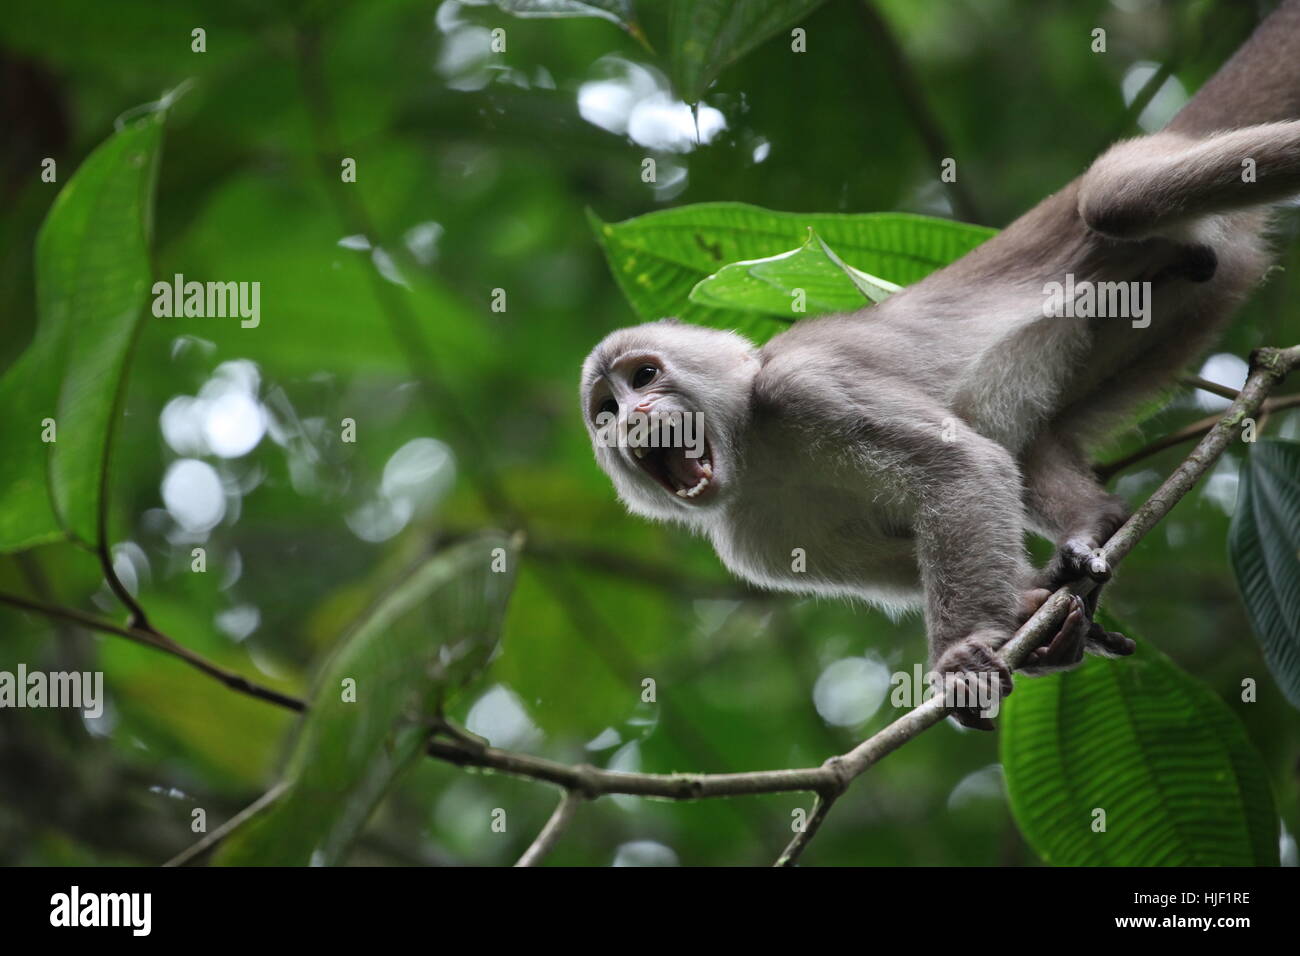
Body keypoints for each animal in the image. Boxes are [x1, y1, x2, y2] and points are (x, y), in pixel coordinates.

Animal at [580, 1, 1300, 728]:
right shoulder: (754, 540)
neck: (757, 450)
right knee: (1028, 434)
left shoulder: (803, 387)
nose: (634, 416)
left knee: (1115, 200)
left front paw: (962, 655)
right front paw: (1036, 616)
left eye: (644, 376)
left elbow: (960, 468)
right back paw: (1092, 528)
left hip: (1135, 169)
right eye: (605, 411)